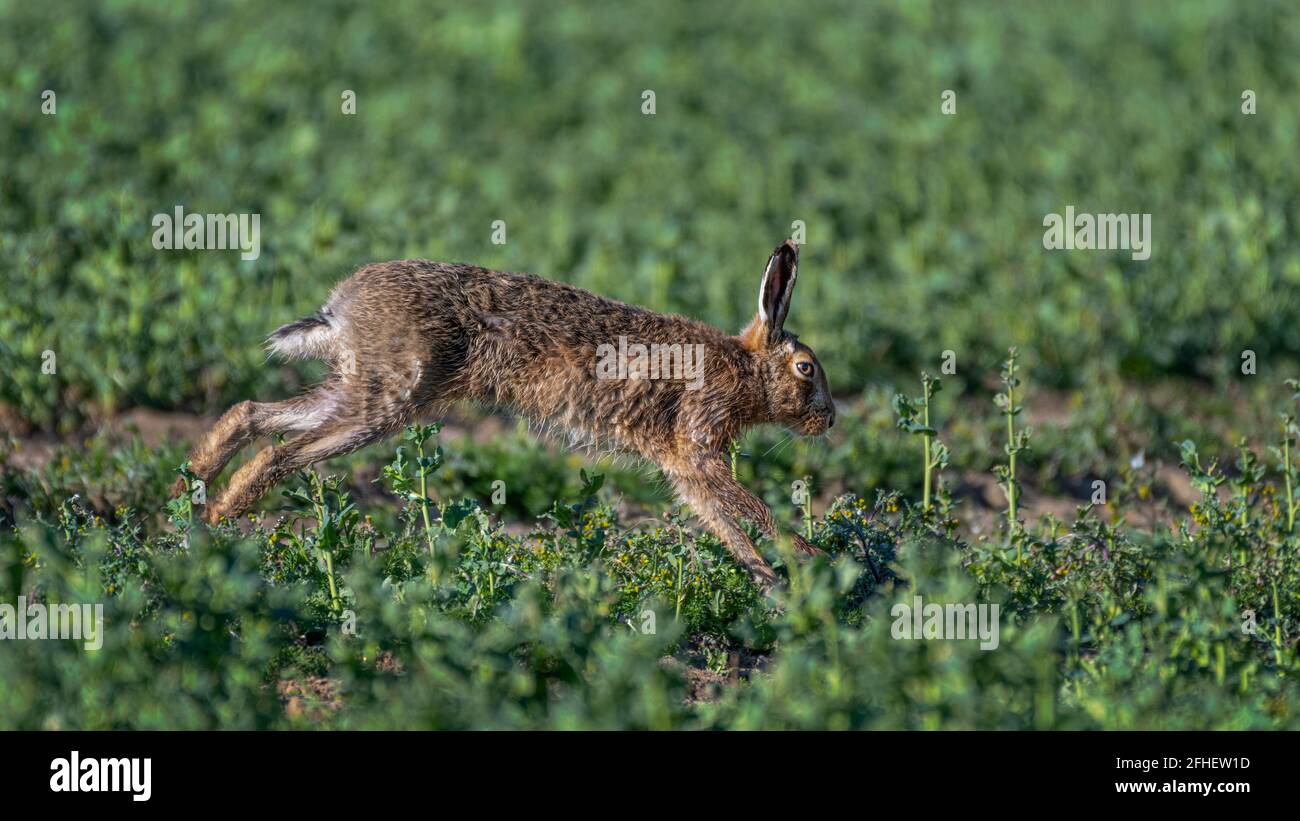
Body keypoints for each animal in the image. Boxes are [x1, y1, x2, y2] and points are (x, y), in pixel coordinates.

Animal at [174, 238, 834, 588]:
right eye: (806, 368)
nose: (830, 419)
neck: (747, 371)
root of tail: (339, 309)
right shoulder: (697, 445)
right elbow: (749, 507)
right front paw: (810, 559)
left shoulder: (683, 465)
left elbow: (720, 519)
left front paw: (763, 574)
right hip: (386, 400)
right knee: (281, 453)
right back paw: (218, 517)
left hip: (365, 388)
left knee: (252, 414)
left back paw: (193, 496)